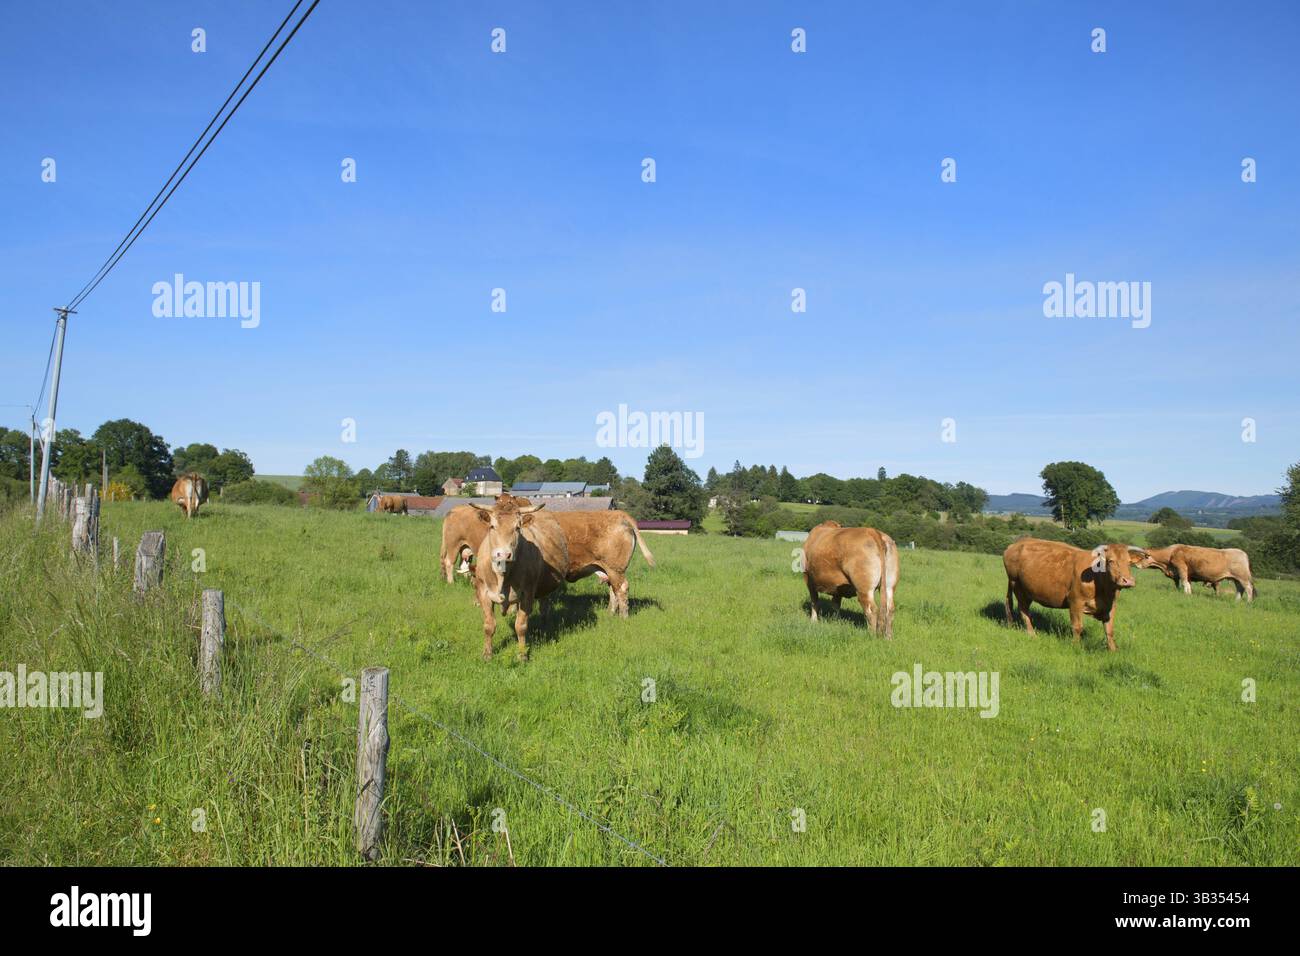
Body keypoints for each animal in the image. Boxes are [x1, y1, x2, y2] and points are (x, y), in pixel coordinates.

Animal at [471, 498, 569, 660]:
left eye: (517, 527)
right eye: (492, 526)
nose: (504, 555)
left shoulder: (527, 593)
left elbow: (521, 626)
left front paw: (522, 654)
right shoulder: (483, 592)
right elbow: (489, 625)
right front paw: (487, 654)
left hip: (545, 588)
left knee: (544, 608)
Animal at [1003, 538, 1147, 651]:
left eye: (1129, 562)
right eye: (1111, 561)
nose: (1128, 581)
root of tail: (1016, 544)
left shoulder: (1111, 606)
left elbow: (1109, 630)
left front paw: (1113, 650)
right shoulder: (1075, 602)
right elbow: (1077, 627)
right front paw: (1075, 646)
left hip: (1027, 590)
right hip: (1017, 586)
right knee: (1023, 611)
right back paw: (1032, 634)